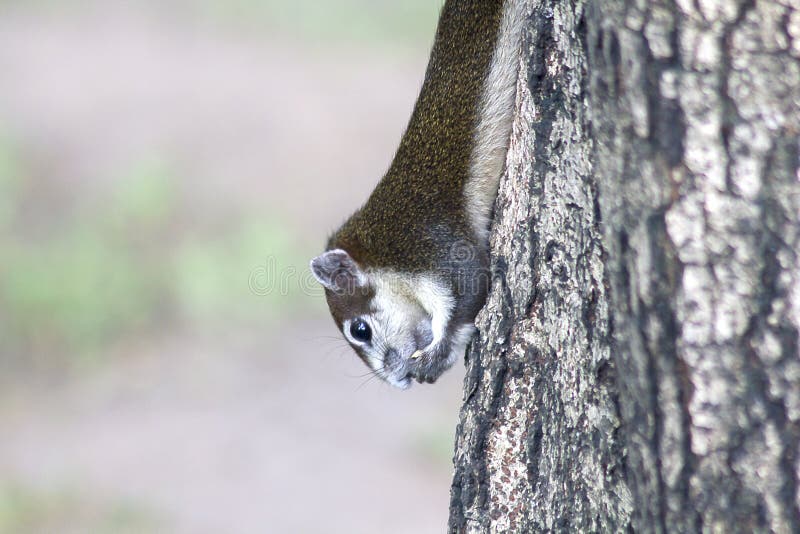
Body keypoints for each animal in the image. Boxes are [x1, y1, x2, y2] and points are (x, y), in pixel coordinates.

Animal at [310, 0, 526, 388]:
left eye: (360, 330)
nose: (398, 381)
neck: (378, 247)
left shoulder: (427, 242)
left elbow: (470, 284)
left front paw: (436, 357)